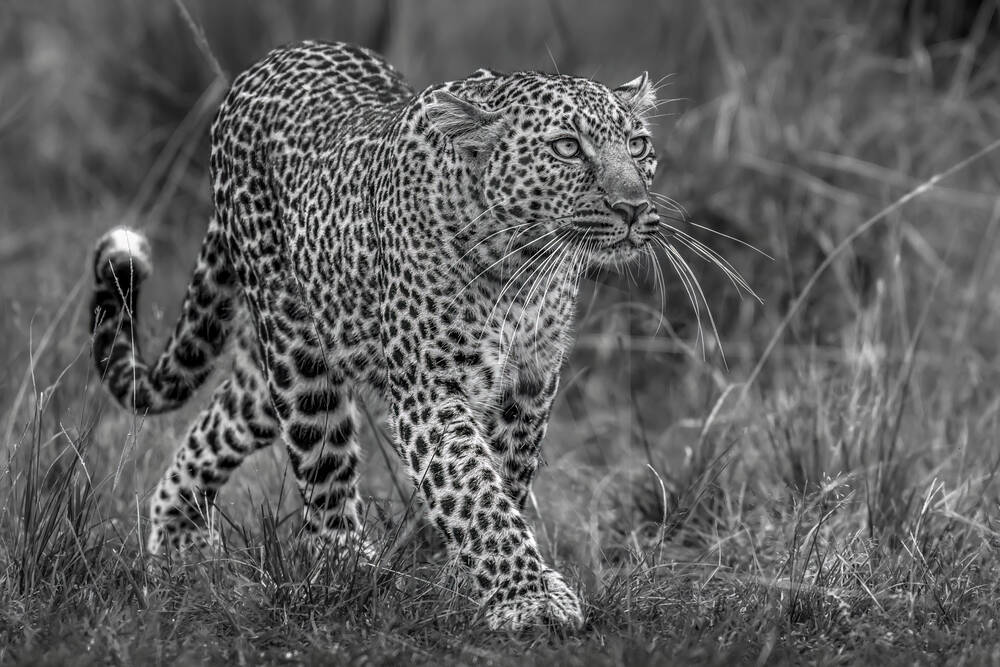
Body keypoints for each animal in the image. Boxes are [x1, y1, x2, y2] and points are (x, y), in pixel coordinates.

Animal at [89, 40, 666, 631]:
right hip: (298, 360)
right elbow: (475, 490)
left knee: (218, 426)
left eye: (639, 146)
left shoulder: (530, 383)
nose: (634, 207)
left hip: (281, 364)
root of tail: (266, 61)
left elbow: (505, 475)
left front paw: (469, 584)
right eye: (567, 148)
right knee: (323, 480)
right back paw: (350, 574)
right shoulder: (430, 391)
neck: (522, 269)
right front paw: (526, 599)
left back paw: (176, 547)